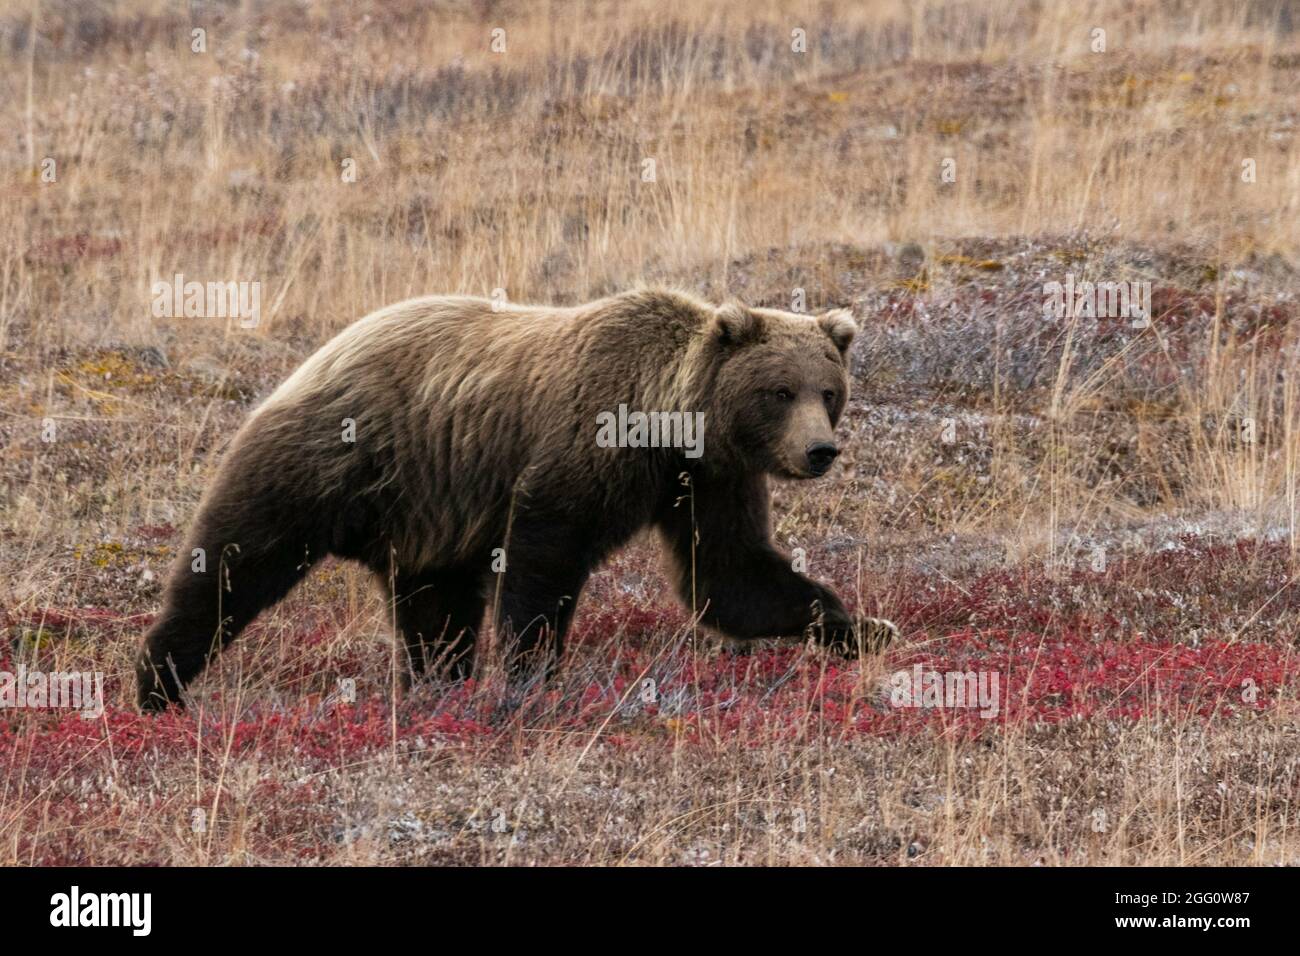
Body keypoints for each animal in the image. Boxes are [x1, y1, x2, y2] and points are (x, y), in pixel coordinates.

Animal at [136, 288, 894, 711]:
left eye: (828, 390)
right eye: (780, 391)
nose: (819, 451)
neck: (672, 425)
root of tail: (317, 353)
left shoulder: (706, 479)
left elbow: (730, 574)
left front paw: (860, 628)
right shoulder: (589, 447)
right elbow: (543, 558)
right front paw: (533, 674)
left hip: (425, 510)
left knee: (436, 608)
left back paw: (439, 685)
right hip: (328, 460)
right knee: (235, 562)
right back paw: (158, 683)